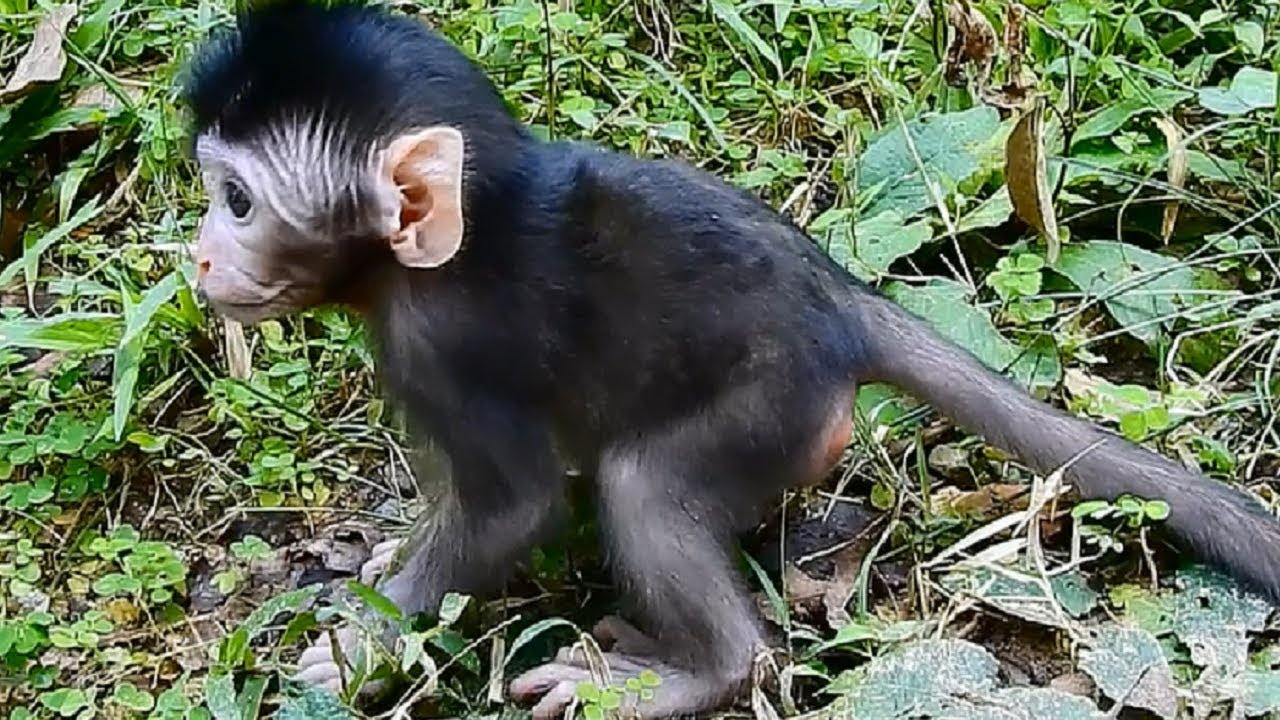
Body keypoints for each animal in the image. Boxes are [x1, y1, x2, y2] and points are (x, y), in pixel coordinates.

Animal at [180, 1, 1280, 717]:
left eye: (236, 201)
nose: (199, 254)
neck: (457, 240)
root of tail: (839, 301)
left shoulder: (443, 347)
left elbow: (511, 509)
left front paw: (368, 641)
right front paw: (376, 574)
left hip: (772, 404)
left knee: (641, 487)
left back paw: (708, 675)